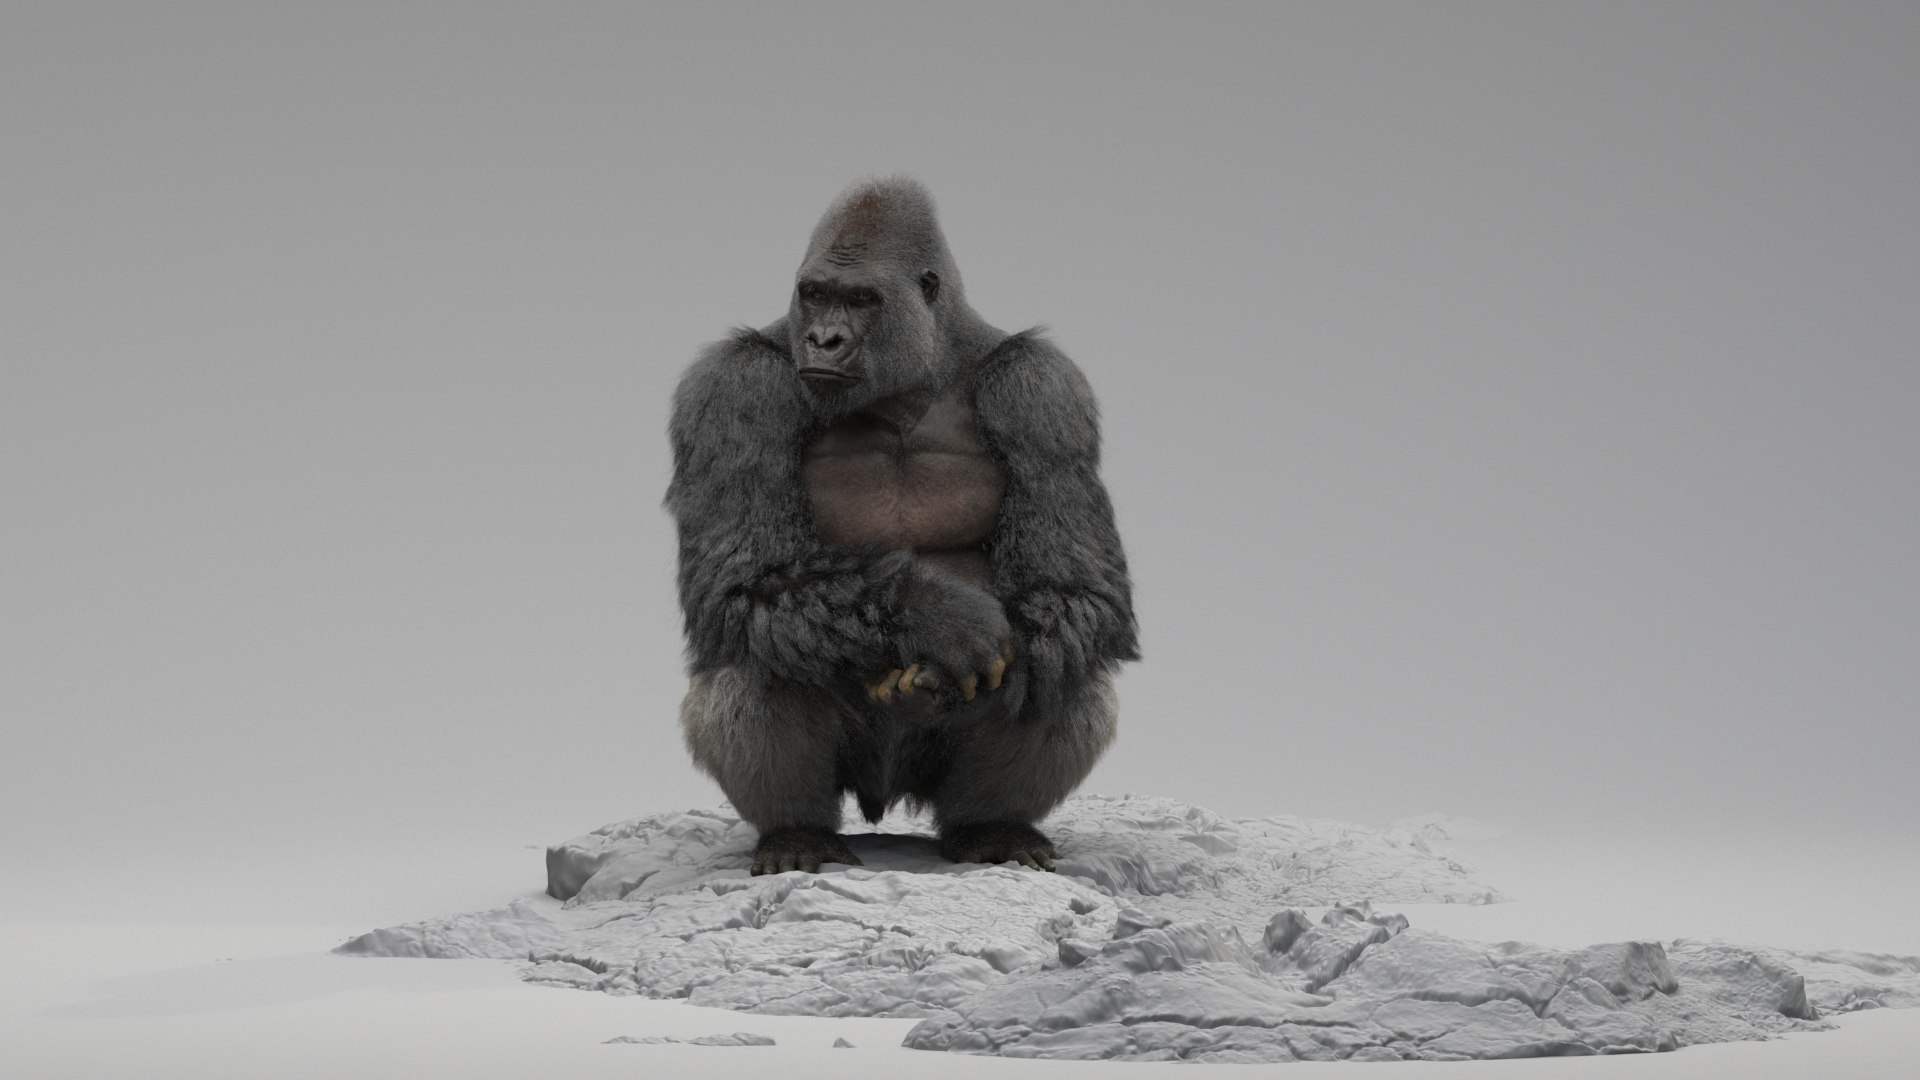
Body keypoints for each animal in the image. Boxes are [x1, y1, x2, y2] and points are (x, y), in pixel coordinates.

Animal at [667, 177, 1137, 876]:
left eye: (862, 299)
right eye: (815, 294)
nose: (824, 340)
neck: (916, 377)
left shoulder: (1044, 390)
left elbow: (1074, 590)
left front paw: (955, 665)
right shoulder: (733, 385)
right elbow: (748, 580)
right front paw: (939, 617)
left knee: (1066, 665)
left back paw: (992, 827)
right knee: (764, 644)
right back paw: (796, 833)